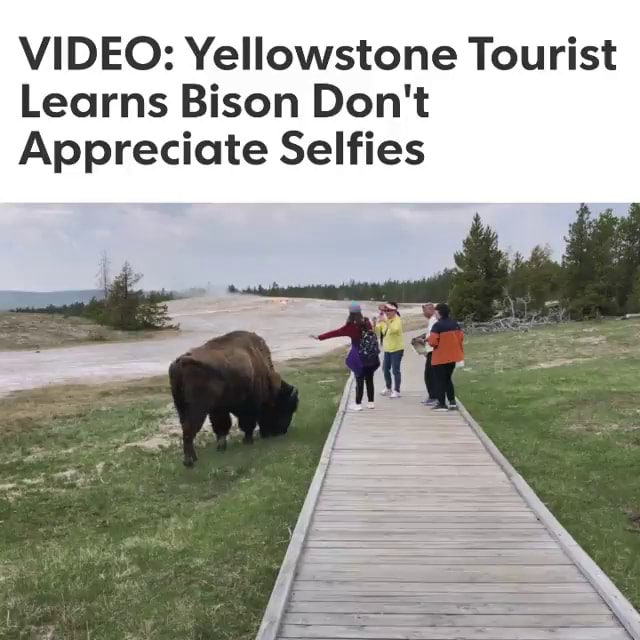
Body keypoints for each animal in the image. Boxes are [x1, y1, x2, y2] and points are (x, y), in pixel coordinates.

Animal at [169, 331, 299, 467]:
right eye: (285, 408)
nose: (281, 432)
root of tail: (181, 363)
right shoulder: (249, 404)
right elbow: (246, 423)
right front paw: (247, 441)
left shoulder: (219, 409)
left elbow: (222, 426)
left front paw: (221, 447)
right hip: (197, 408)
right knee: (189, 429)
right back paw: (189, 461)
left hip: (181, 407)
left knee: (185, 428)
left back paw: (192, 458)